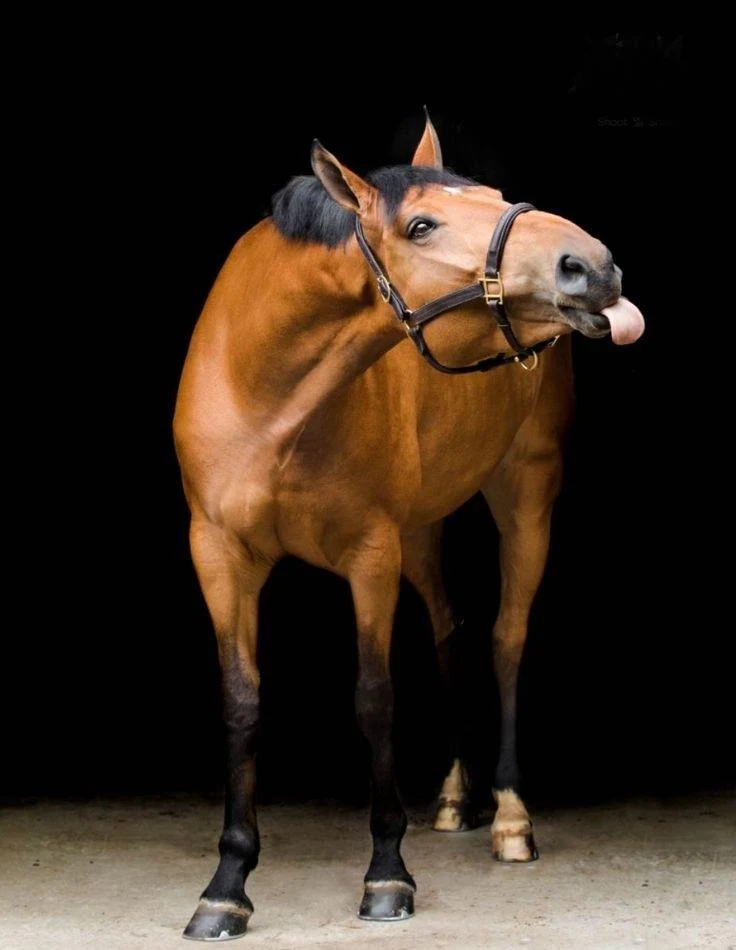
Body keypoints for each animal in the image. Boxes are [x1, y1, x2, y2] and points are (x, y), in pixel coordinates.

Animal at [174, 113, 644, 940]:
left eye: (495, 196)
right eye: (421, 224)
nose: (592, 266)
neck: (265, 384)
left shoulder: (370, 553)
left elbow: (374, 697)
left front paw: (387, 873)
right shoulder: (220, 553)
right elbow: (241, 702)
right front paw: (227, 885)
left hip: (526, 491)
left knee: (506, 638)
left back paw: (510, 817)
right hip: (423, 529)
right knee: (451, 630)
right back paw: (456, 799)